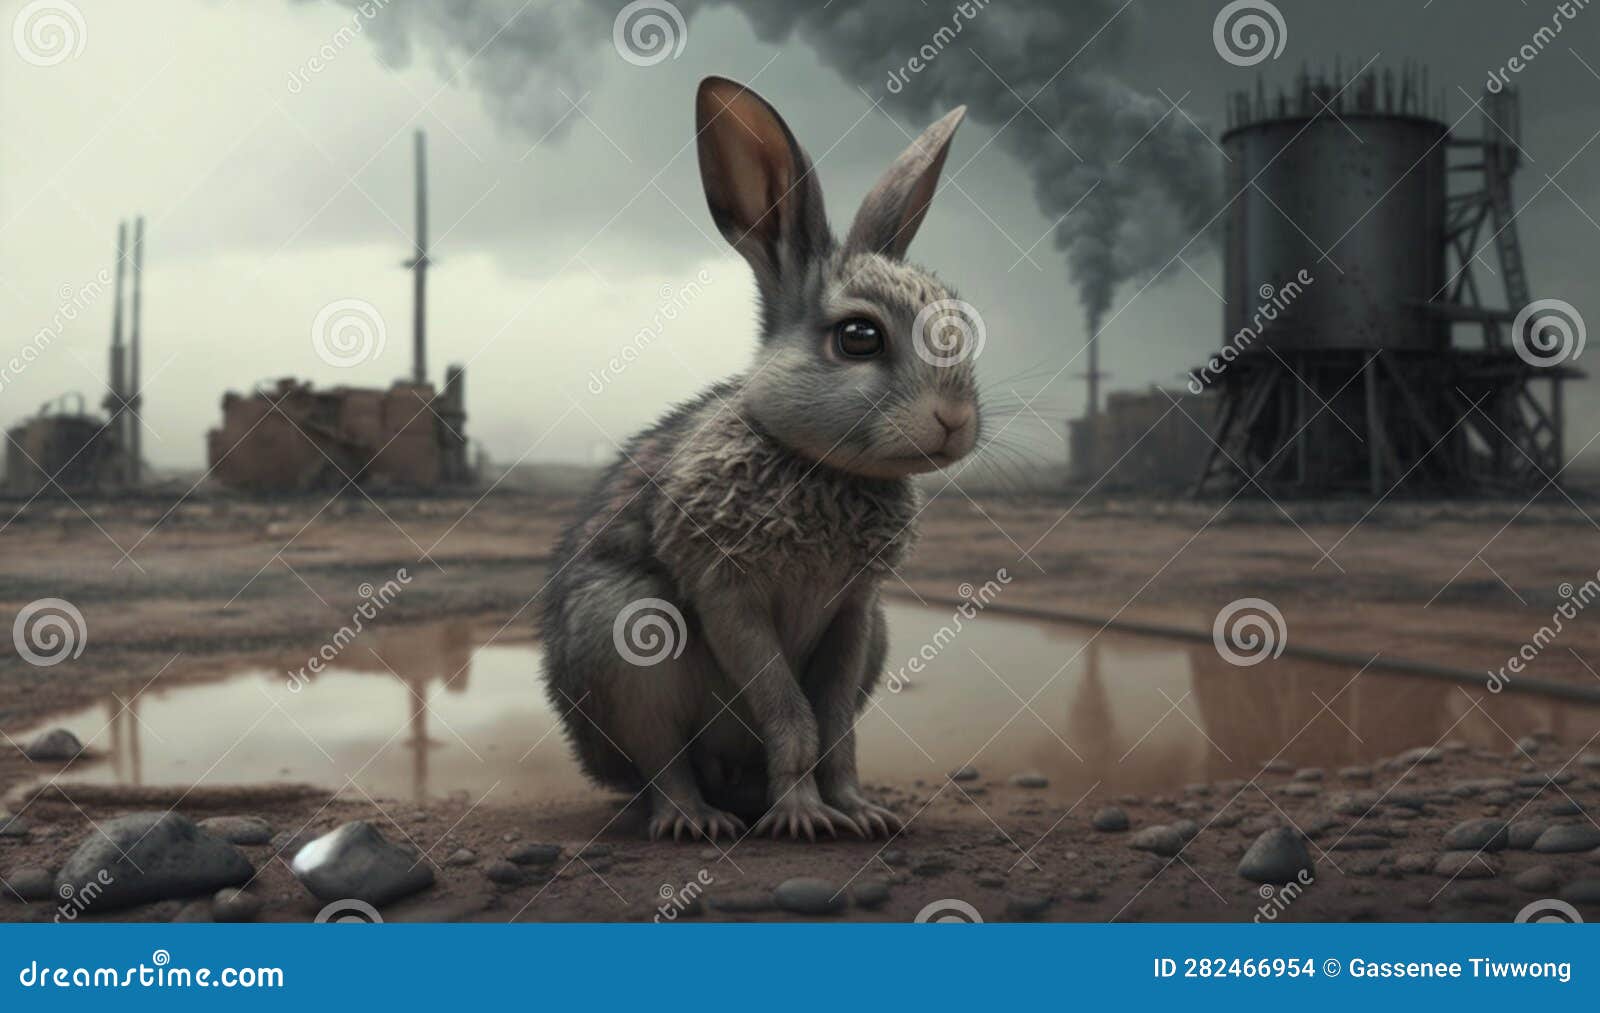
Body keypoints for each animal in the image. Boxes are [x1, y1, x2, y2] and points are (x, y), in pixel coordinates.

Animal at [539, 76, 978, 842]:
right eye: (859, 337)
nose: (954, 421)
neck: (818, 464)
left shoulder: (856, 611)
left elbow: (835, 725)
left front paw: (859, 812)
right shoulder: (728, 593)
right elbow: (790, 714)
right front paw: (803, 819)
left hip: (879, 638)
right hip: (623, 636)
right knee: (664, 764)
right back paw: (696, 821)